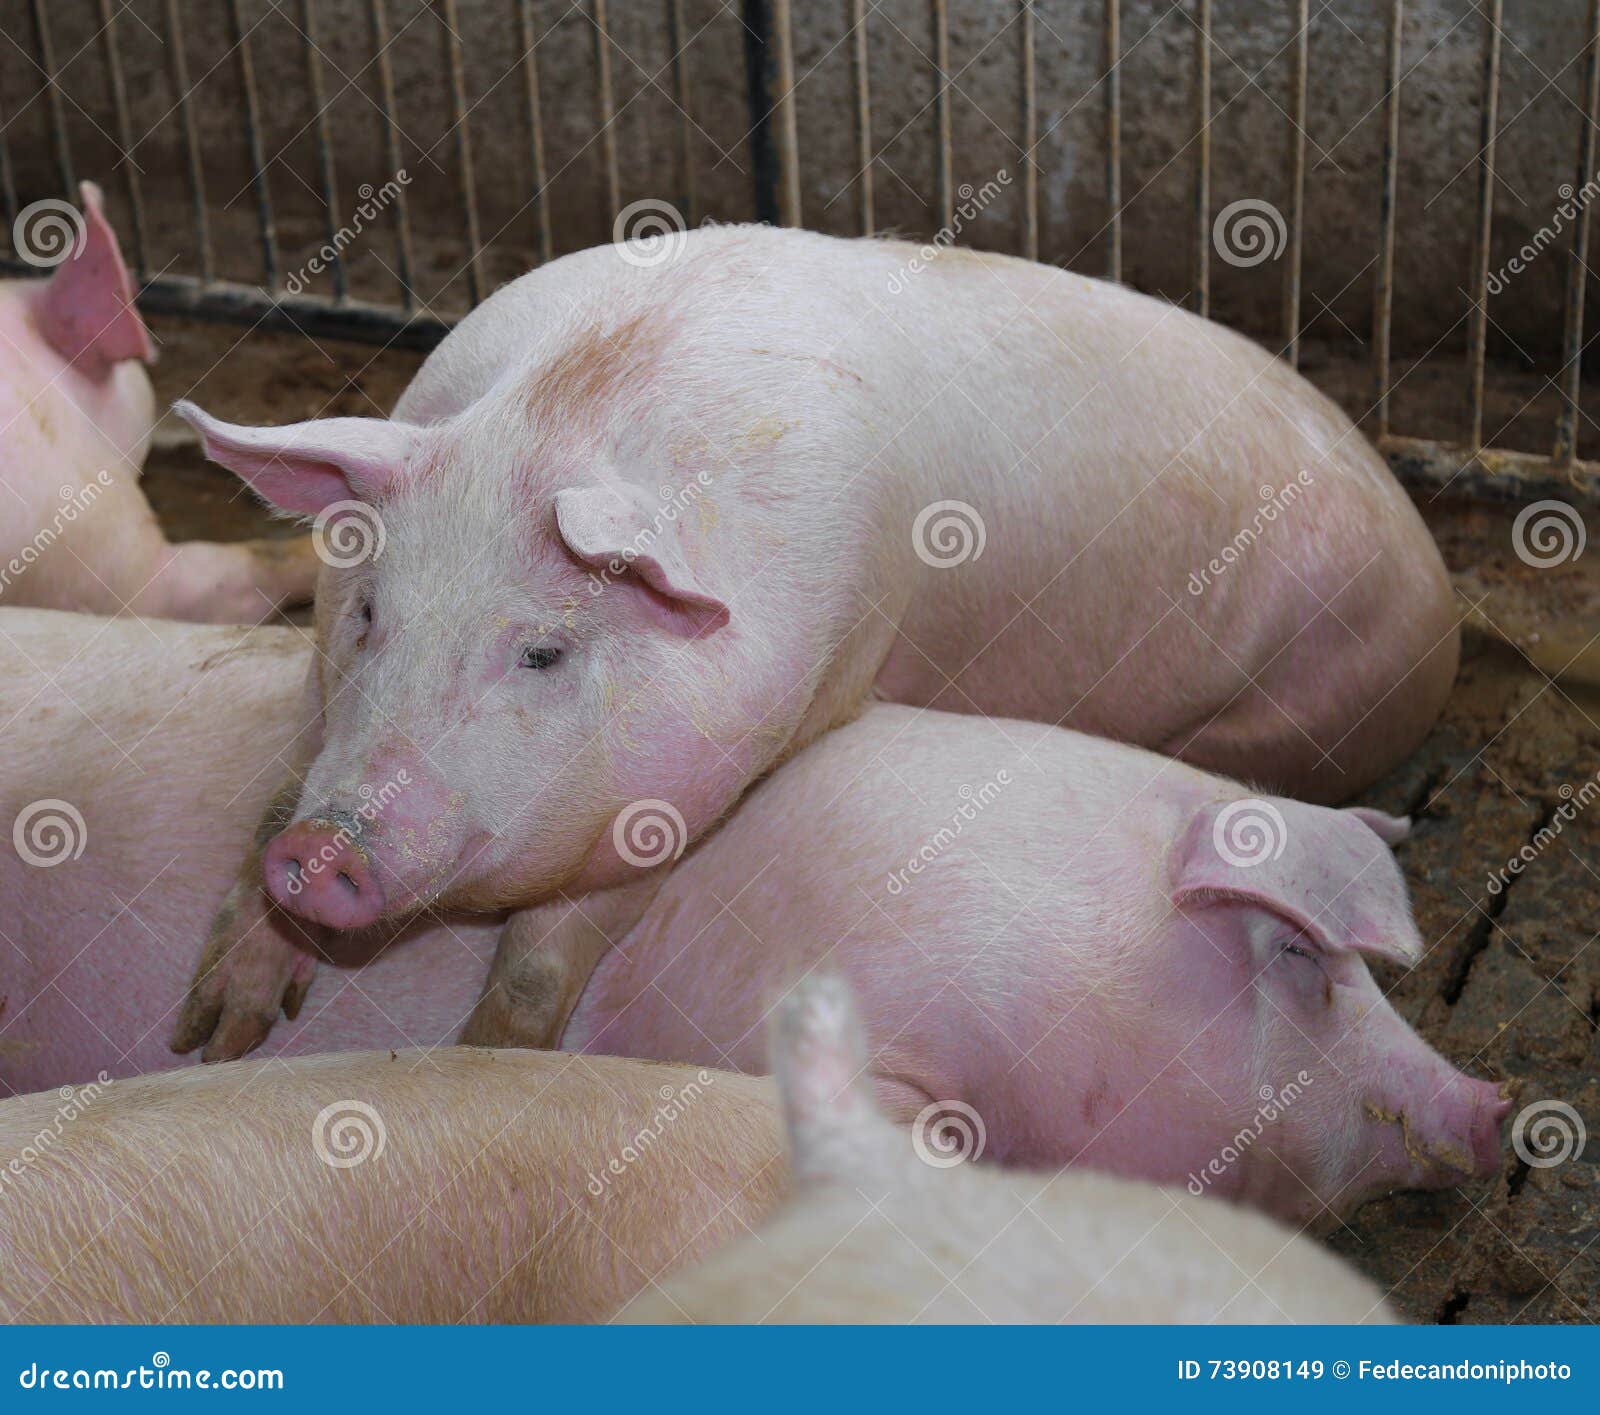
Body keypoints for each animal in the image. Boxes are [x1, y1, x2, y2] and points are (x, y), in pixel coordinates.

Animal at [169, 221, 1459, 1059]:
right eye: (369, 612)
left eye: (543, 650)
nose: (324, 852)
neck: (569, 408)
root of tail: (1438, 590)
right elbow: (276, 784)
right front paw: (212, 1032)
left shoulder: (770, 721)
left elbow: (554, 948)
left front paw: (475, 1059)